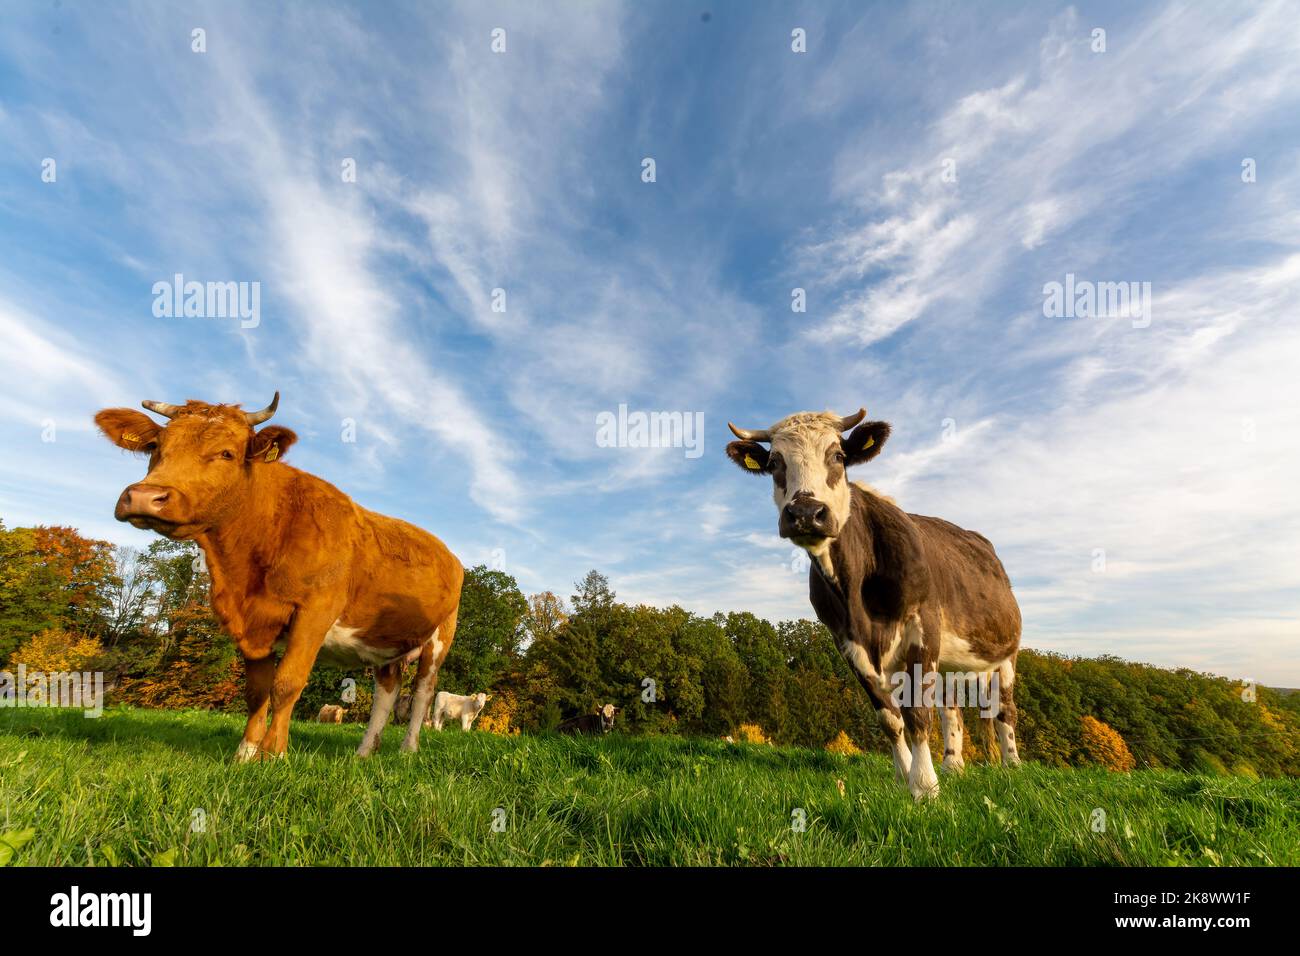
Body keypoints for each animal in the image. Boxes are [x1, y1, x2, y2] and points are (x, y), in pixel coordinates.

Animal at [94, 392, 464, 761]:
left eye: (227, 453)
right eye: (156, 446)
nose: (144, 497)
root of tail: (448, 552)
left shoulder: (315, 612)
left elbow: (287, 683)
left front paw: (274, 754)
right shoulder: (252, 623)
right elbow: (257, 690)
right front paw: (245, 754)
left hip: (440, 637)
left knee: (422, 693)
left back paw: (407, 750)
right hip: (385, 641)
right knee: (386, 692)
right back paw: (364, 752)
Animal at [725, 408, 1022, 800]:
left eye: (838, 456)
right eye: (774, 462)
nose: (805, 512)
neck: (857, 591)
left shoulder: (922, 624)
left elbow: (917, 712)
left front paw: (924, 786)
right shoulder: (846, 640)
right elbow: (889, 717)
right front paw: (904, 776)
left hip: (1007, 653)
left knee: (1004, 710)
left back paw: (1011, 765)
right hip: (949, 661)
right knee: (952, 709)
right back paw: (953, 766)